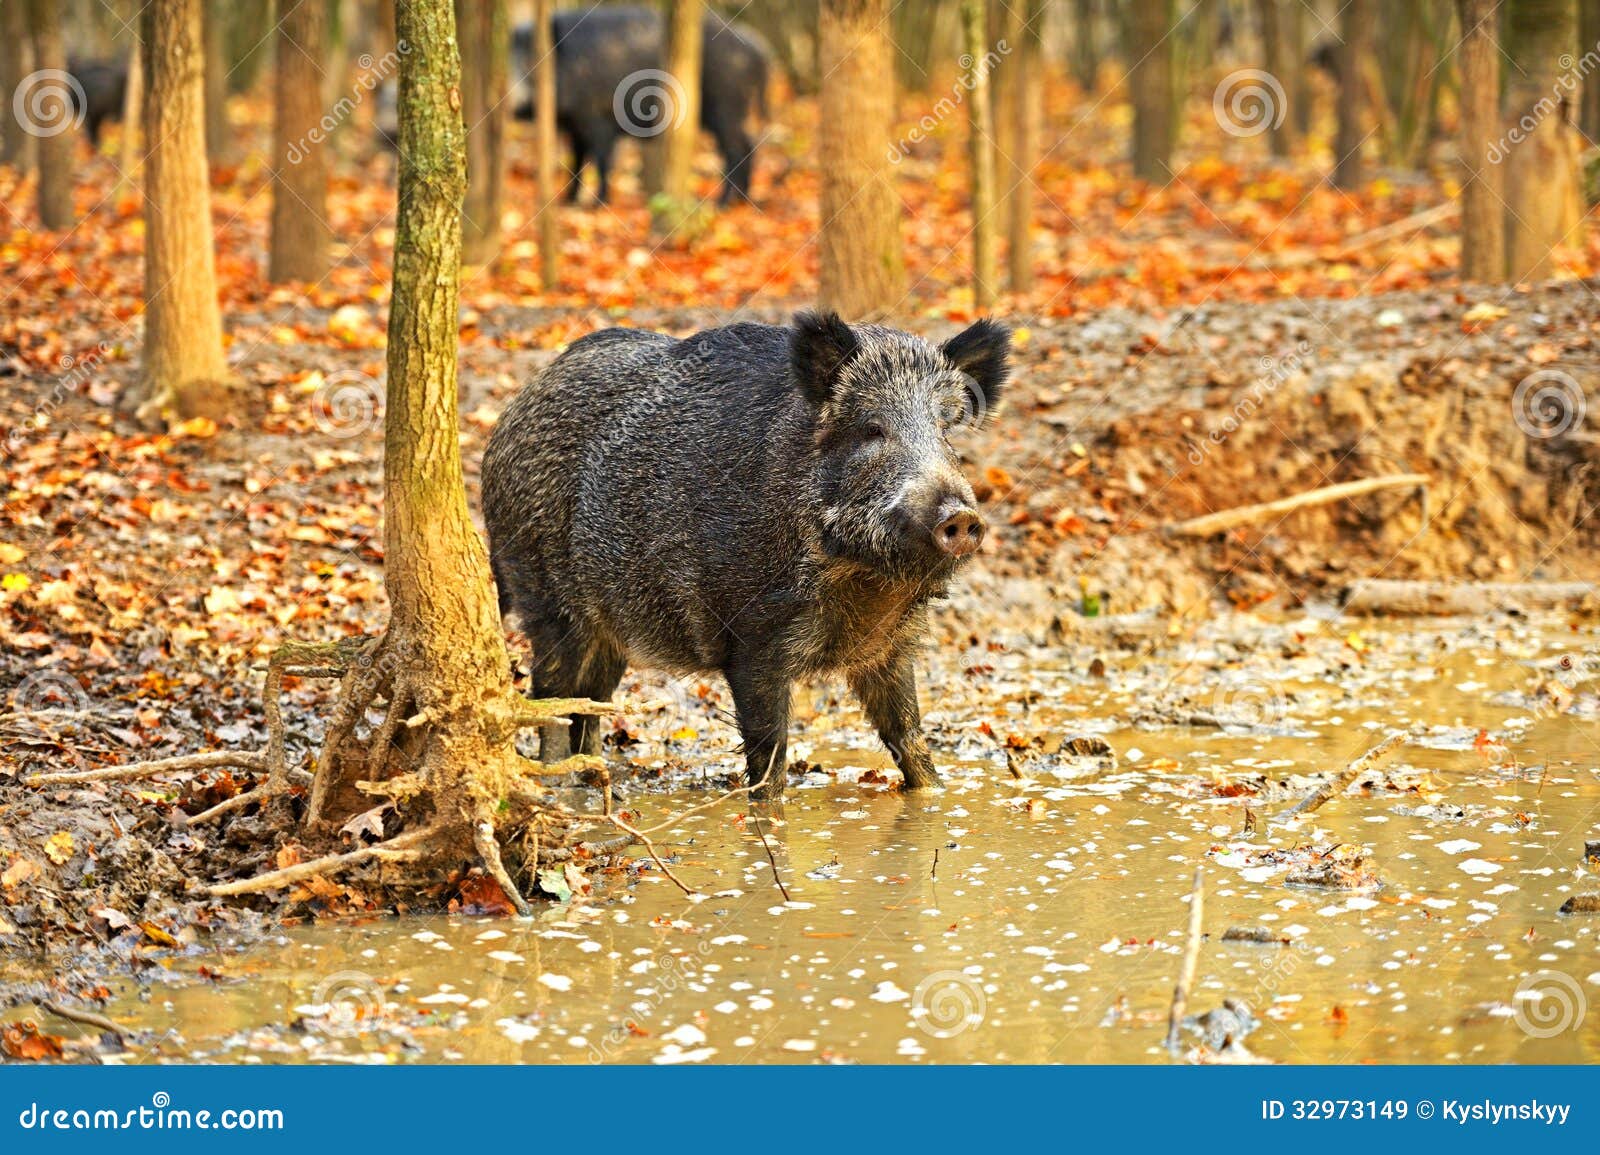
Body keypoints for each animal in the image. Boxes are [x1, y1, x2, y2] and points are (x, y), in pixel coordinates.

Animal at [481, 312, 1009, 799]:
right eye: (872, 428)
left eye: (945, 430)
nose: (961, 517)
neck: (863, 583)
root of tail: (512, 414)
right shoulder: (751, 640)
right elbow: (769, 759)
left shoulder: (892, 644)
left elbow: (908, 736)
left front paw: (934, 797)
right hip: (545, 594)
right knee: (549, 693)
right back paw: (559, 786)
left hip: (610, 628)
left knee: (591, 702)